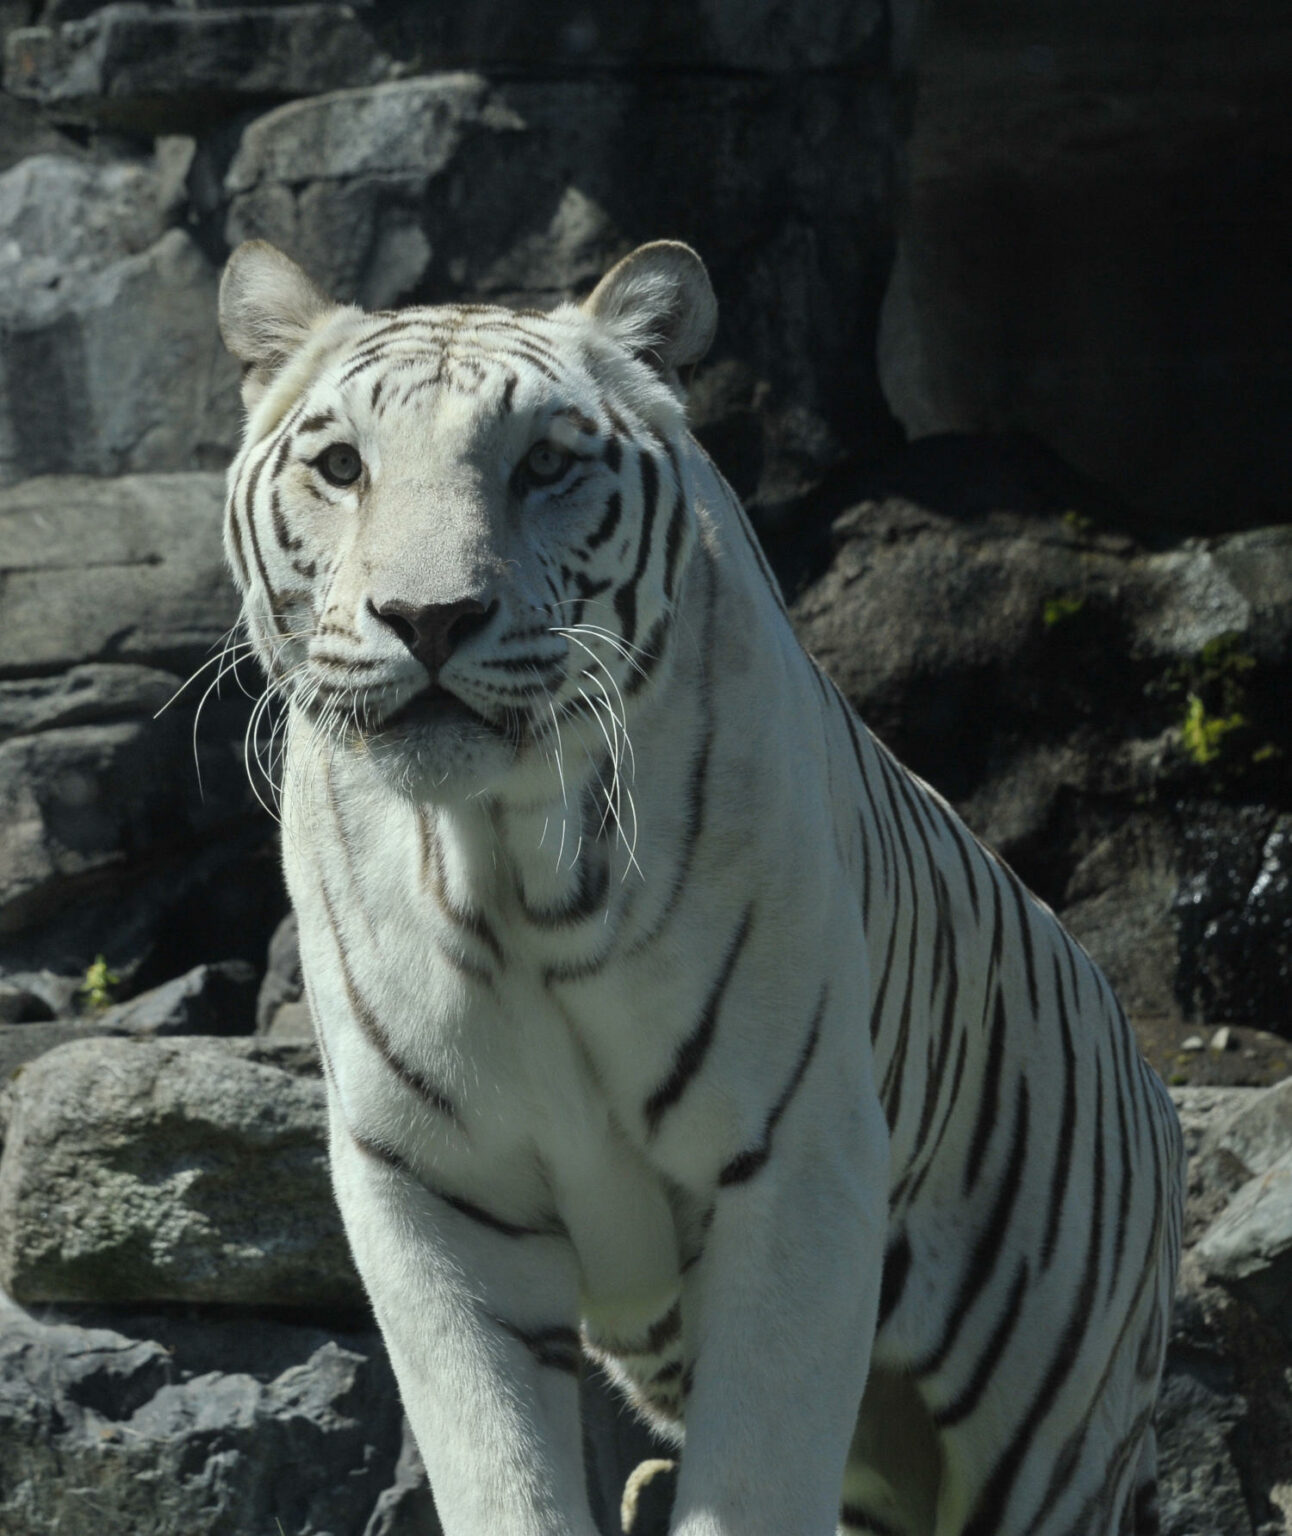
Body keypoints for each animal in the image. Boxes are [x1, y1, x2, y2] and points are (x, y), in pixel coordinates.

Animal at [217, 235, 1185, 1536]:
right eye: (341, 466)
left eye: (542, 463)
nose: (429, 617)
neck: (500, 861)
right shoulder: (428, 1192)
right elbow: (498, 1469)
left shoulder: (794, 1165)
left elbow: (756, 1477)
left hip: (1050, 1426)